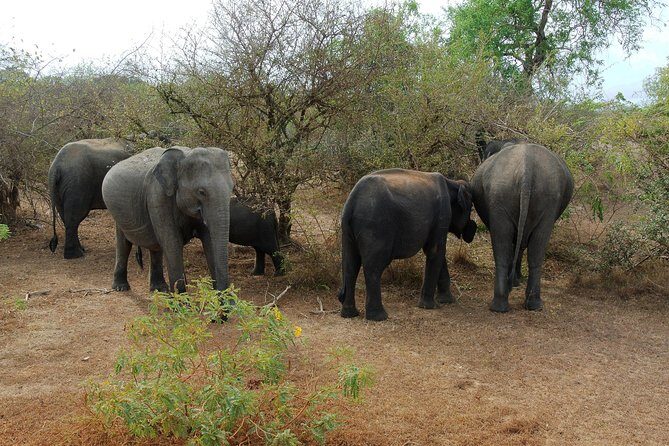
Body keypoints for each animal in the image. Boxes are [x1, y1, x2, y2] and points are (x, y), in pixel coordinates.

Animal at [101, 146, 234, 293]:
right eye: (201, 192)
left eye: (232, 188)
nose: (223, 293)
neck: (184, 156)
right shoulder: (157, 196)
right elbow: (172, 242)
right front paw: (181, 298)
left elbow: (209, 241)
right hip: (117, 212)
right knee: (124, 243)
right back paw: (121, 287)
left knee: (155, 246)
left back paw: (159, 289)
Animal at [338, 168, 477, 321]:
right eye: (471, 208)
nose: (473, 230)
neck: (452, 182)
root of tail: (351, 202)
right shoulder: (442, 214)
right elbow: (436, 250)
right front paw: (429, 306)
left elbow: (434, 251)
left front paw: (447, 301)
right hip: (375, 226)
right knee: (373, 267)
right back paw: (379, 317)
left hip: (348, 230)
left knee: (350, 266)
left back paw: (349, 314)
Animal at [470, 143, 573, 312]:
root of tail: (527, 168)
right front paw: (515, 282)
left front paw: (515, 282)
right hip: (531, 196)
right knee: (530, 248)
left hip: (509, 195)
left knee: (508, 245)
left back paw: (509, 304)